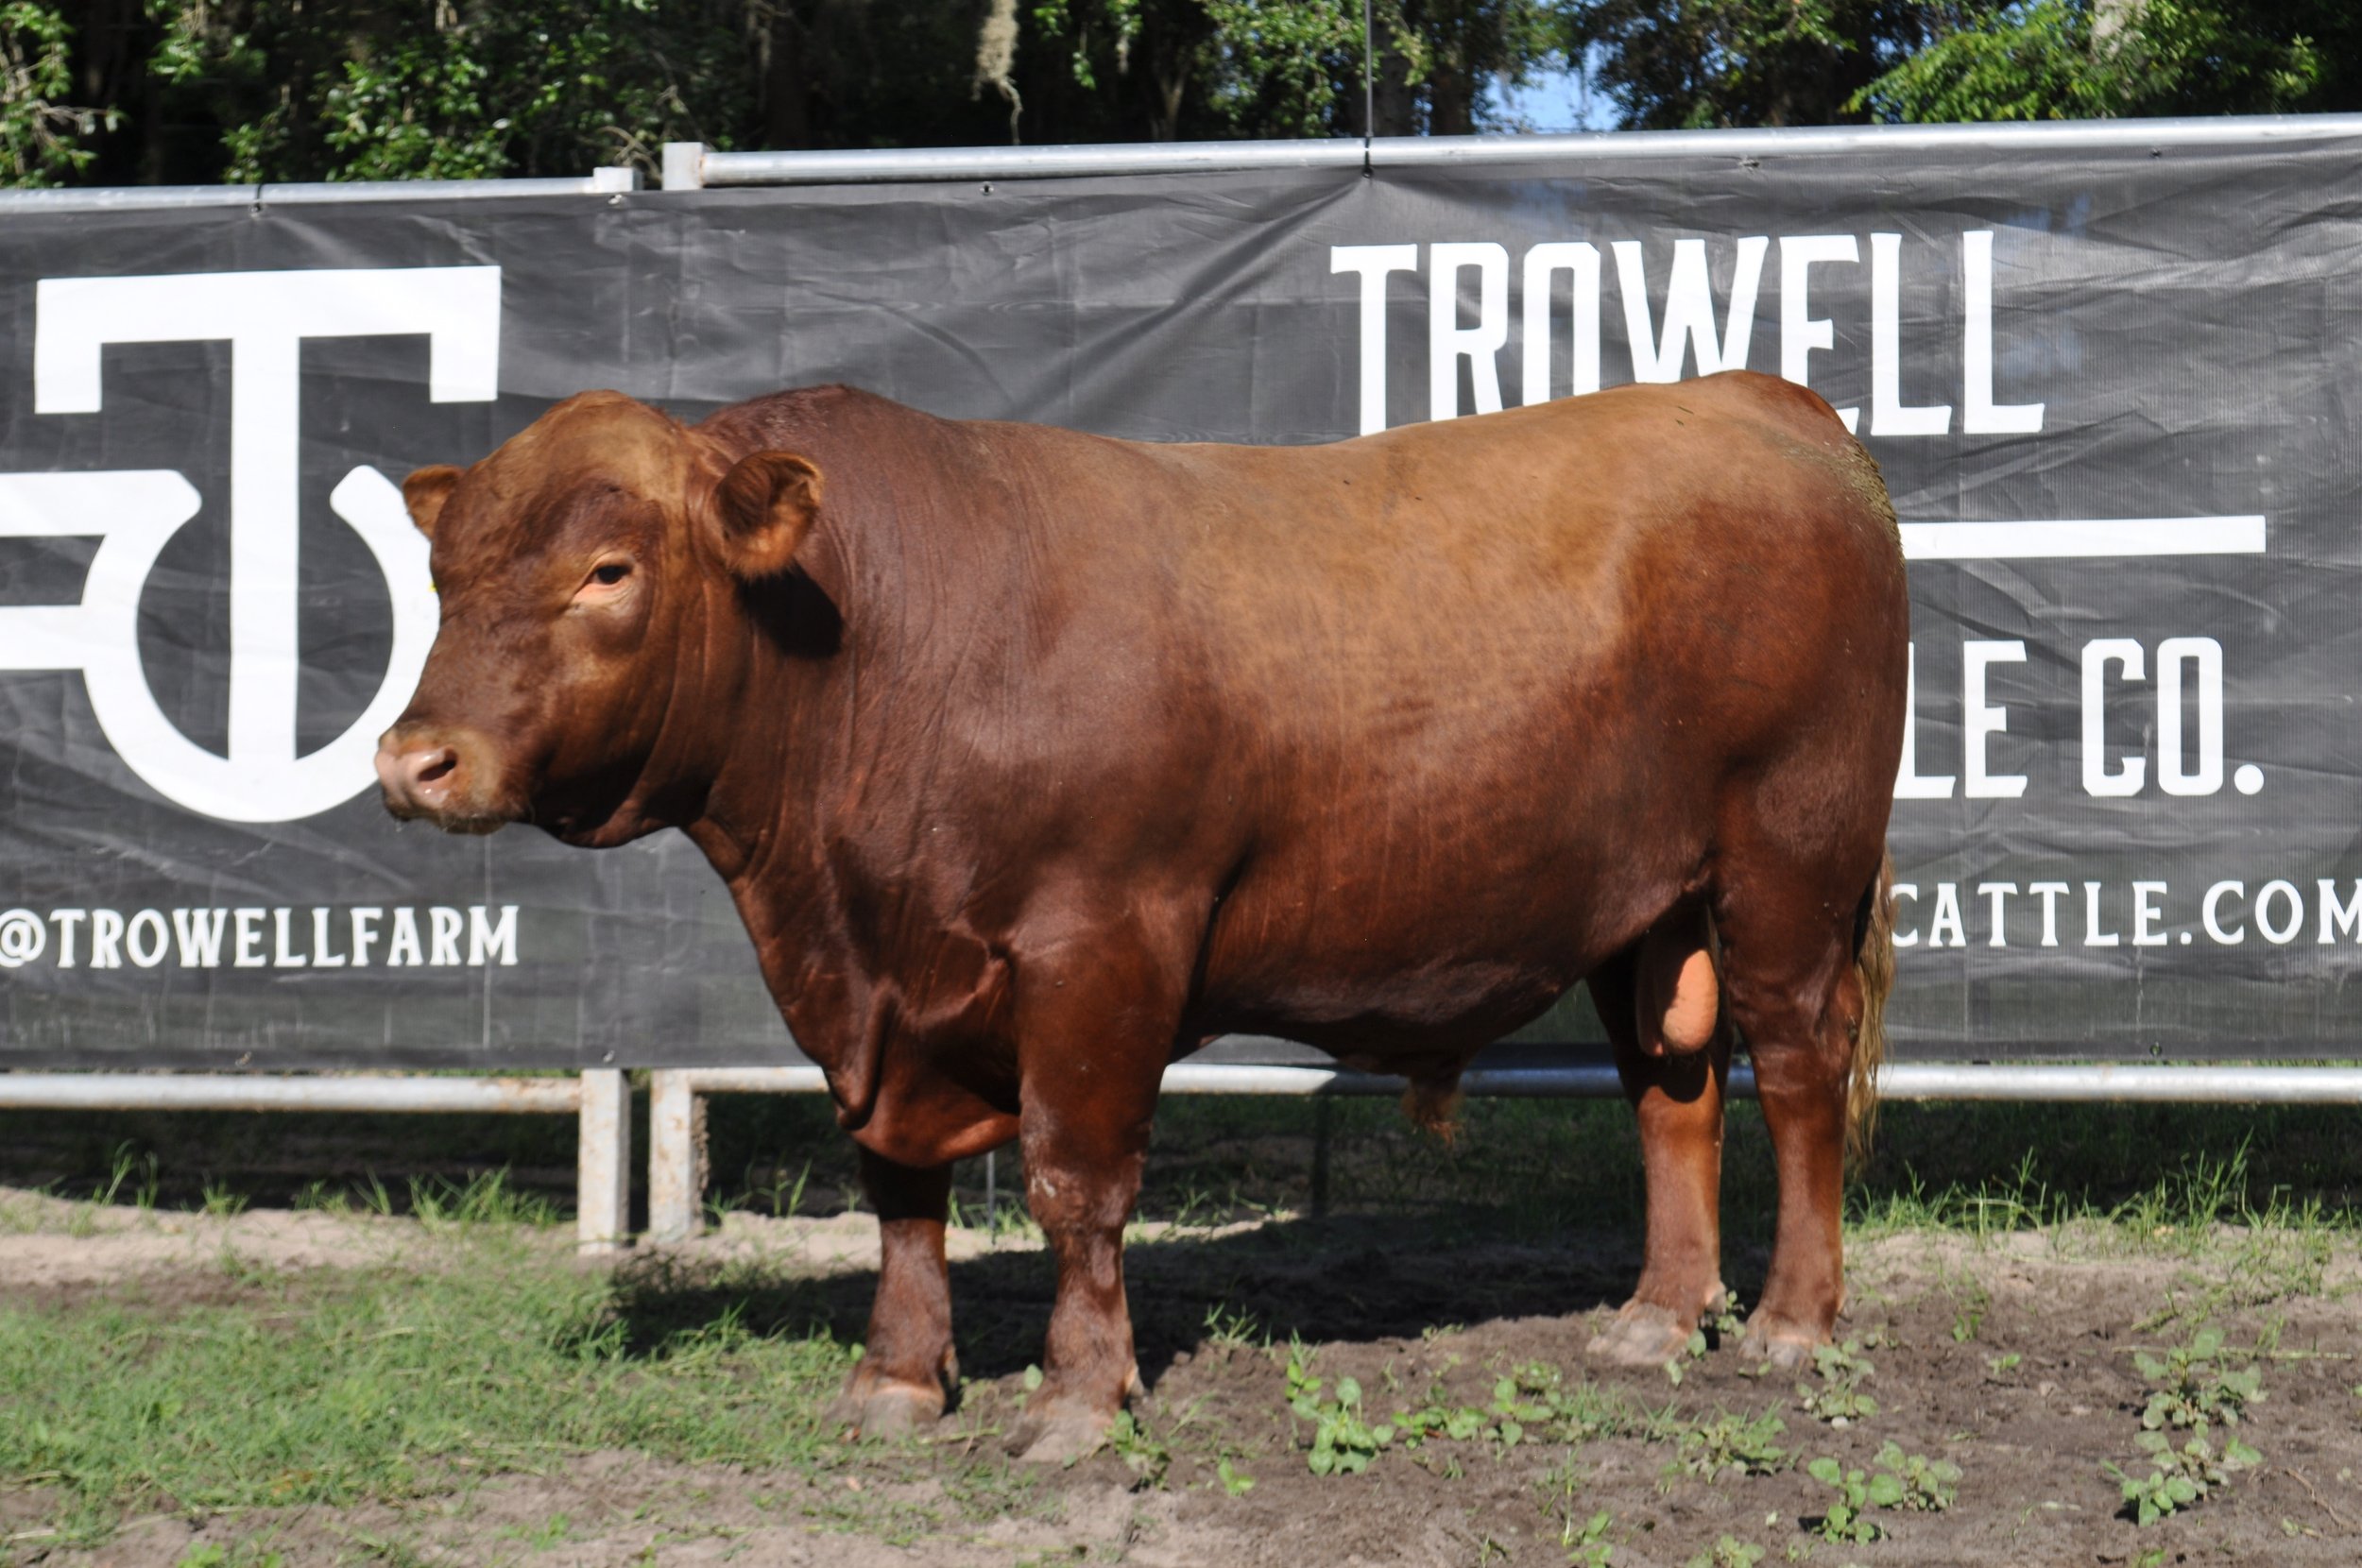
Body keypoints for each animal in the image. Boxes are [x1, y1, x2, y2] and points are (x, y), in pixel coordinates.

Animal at [376, 370, 1907, 1464]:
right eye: (445, 576)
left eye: (609, 570)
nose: (415, 761)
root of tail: (1760, 399)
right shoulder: (872, 1000)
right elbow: (897, 1188)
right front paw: (894, 1379)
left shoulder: (1101, 944)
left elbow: (1075, 1179)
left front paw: (1077, 1401)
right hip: (1648, 907)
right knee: (1672, 1088)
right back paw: (1656, 1320)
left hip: (1788, 858)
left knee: (1795, 1067)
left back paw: (1791, 1322)